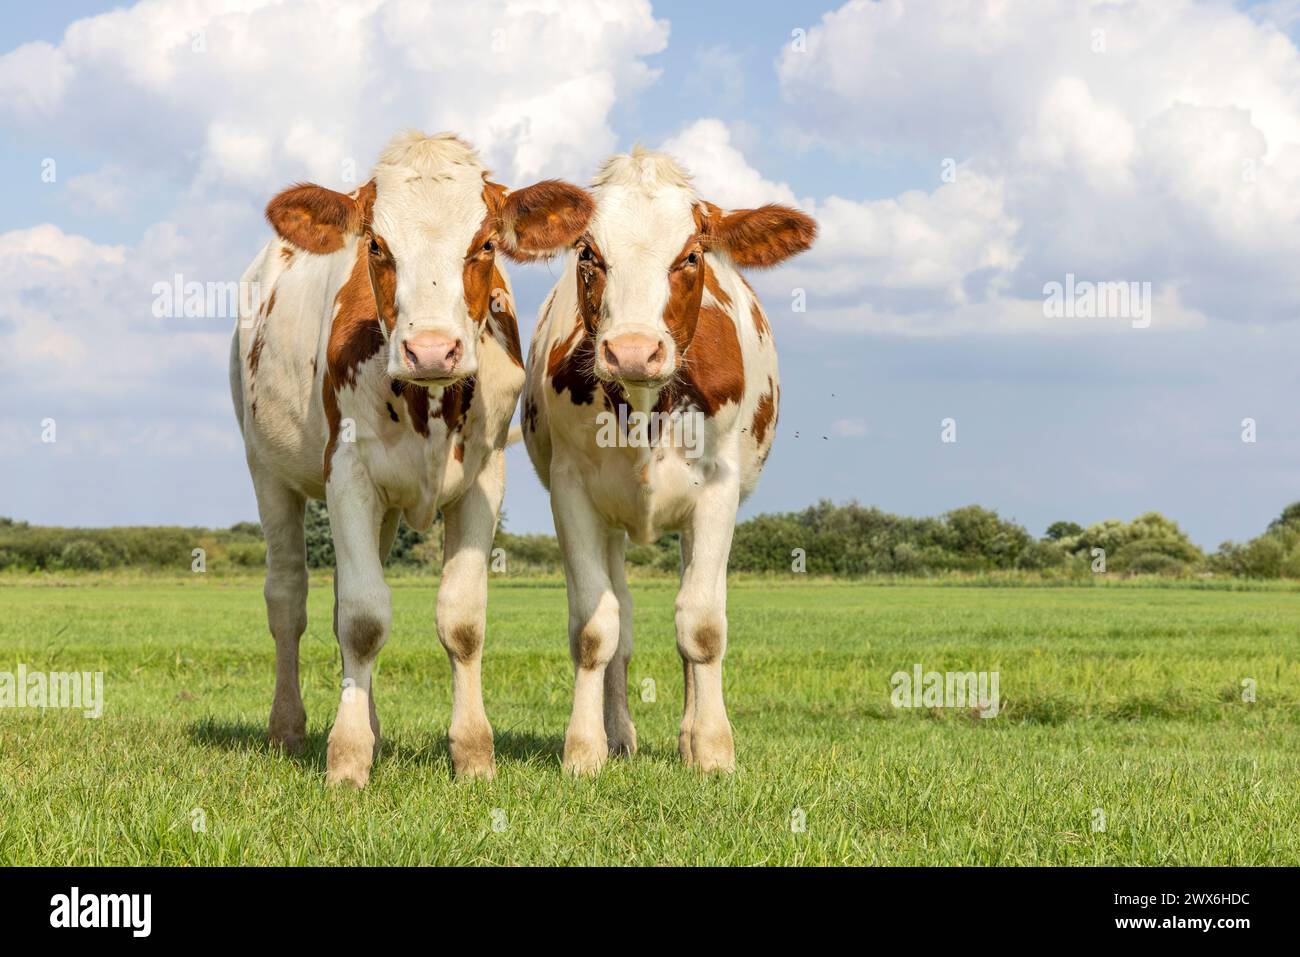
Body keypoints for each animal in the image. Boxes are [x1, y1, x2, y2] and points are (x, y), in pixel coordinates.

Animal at [230, 131, 594, 787]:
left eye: (485, 244)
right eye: (376, 245)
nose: (429, 350)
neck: (429, 403)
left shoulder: (484, 480)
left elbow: (459, 619)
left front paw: (473, 754)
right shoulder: (346, 475)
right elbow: (364, 619)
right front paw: (348, 758)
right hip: (267, 471)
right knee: (288, 601)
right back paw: (289, 727)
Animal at [521, 147, 816, 774]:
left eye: (691, 255)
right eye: (588, 253)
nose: (633, 350)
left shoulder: (718, 492)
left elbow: (701, 626)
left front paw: (712, 748)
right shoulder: (571, 493)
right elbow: (595, 628)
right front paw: (584, 750)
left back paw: (686, 733)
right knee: (622, 621)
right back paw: (619, 735)